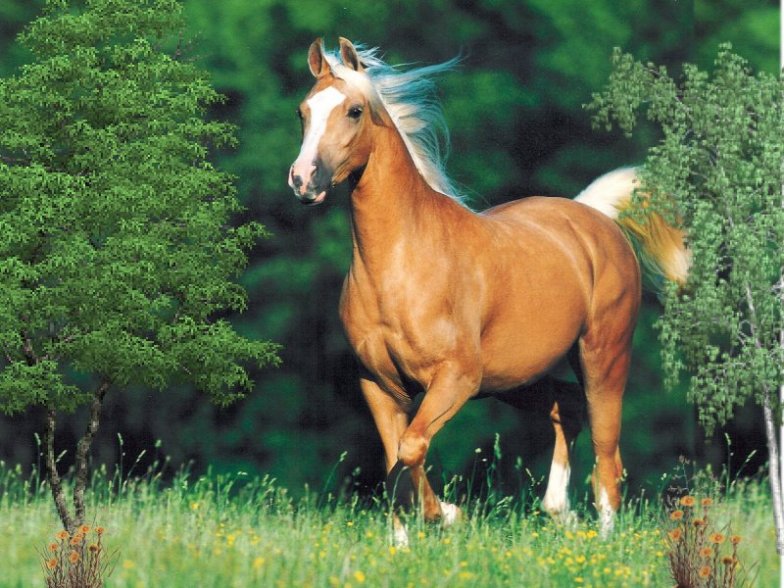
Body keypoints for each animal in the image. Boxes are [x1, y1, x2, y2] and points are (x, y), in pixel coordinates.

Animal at [288, 37, 689, 544]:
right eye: (303, 111)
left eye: (354, 110)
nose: (303, 180)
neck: (402, 263)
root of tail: (595, 217)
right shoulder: (379, 384)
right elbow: (396, 461)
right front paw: (402, 544)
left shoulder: (456, 378)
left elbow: (412, 447)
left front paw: (448, 514)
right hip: (516, 377)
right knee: (568, 408)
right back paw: (559, 511)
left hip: (602, 357)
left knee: (607, 456)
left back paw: (603, 539)